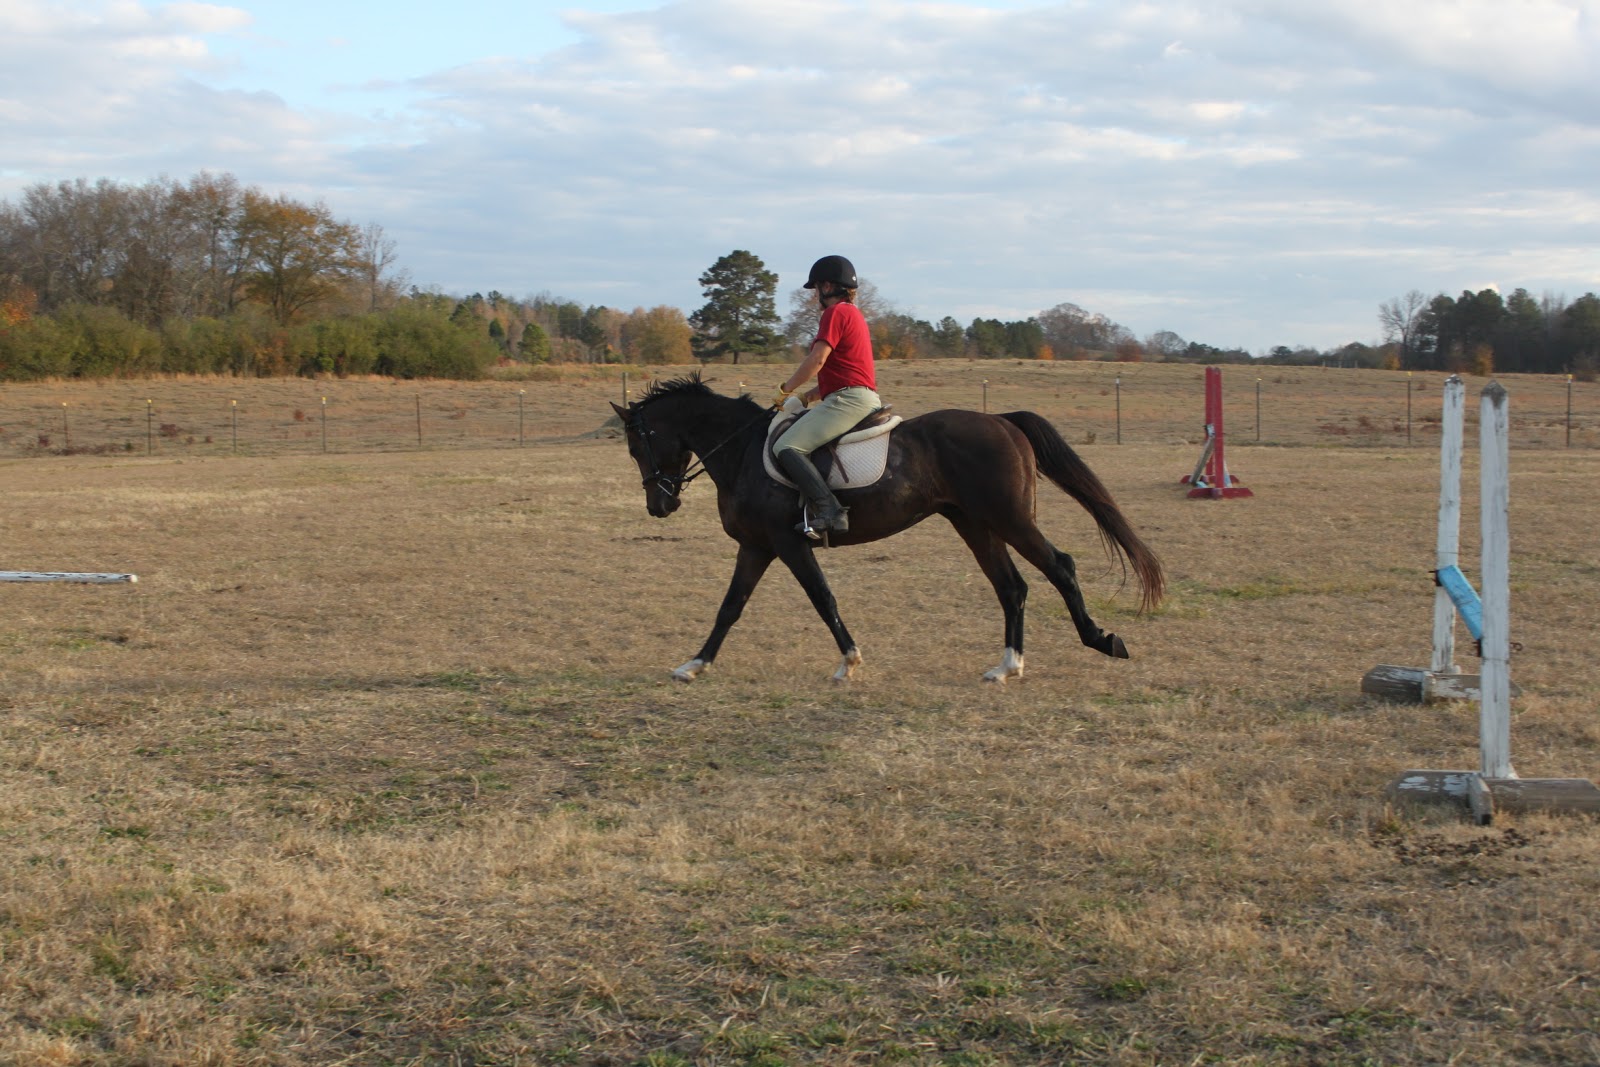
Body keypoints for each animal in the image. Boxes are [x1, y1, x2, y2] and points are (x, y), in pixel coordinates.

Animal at [612, 372, 1164, 684]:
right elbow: (730, 607)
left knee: (1060, 567)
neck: (742, 451)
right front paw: (695, 664)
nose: (659, 505)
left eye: (639, 444)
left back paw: (1101, 639)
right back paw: (1008, 666)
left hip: (1009, 518)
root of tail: (1003, 421)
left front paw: (849, 662)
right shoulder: (757, 546)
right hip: (974, 523)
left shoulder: (789, 543)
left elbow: (823, 598)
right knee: (1012, 587)